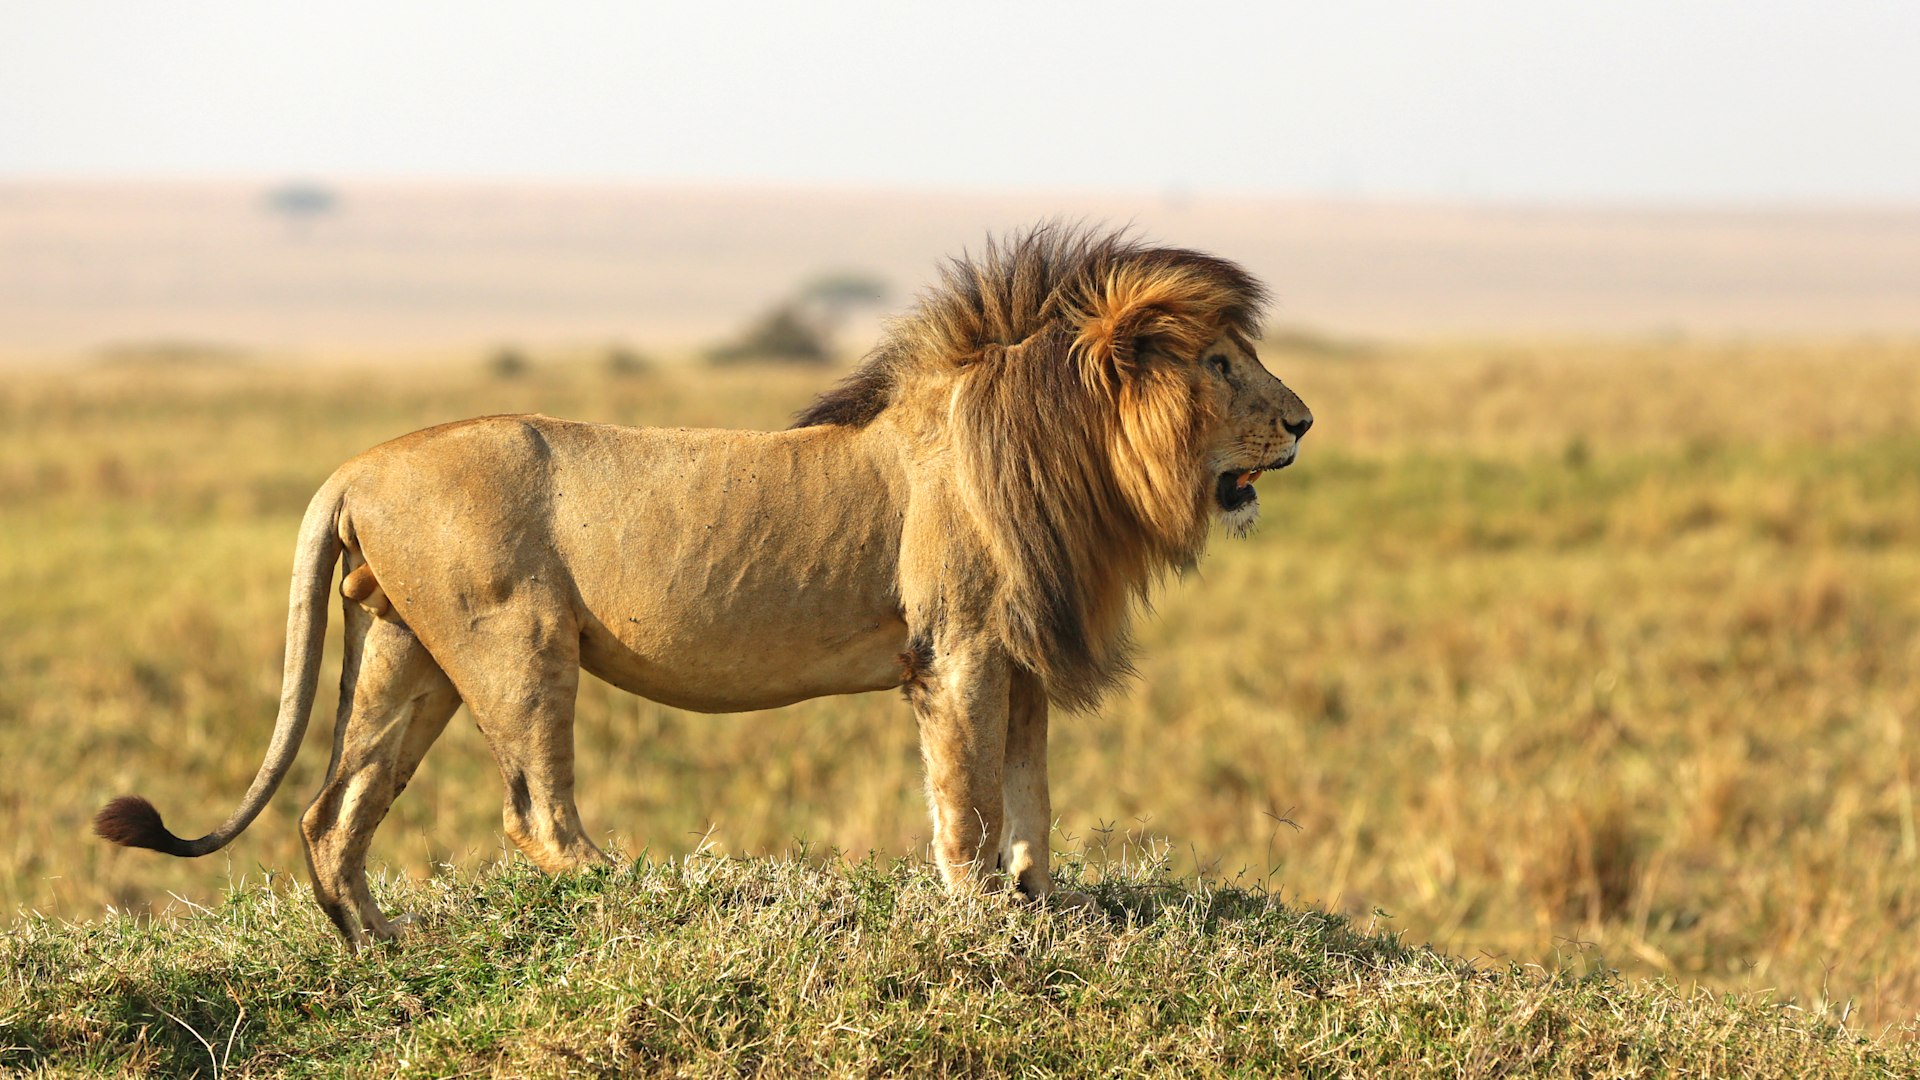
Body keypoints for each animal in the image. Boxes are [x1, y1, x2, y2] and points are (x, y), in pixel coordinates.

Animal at [94, 224, 1313, 947]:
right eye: (1219, 365)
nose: (1304, 421)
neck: (1066, 456)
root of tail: (355, 465)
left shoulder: (1019, 657)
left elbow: (1033, 801)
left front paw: (1043, 909)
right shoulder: (958, 651)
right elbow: (965, 802)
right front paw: (979, 918)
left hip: (408, 657)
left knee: (331, 814)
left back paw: (388, 956)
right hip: (518, 643)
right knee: (533, 814)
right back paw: (646, 896)